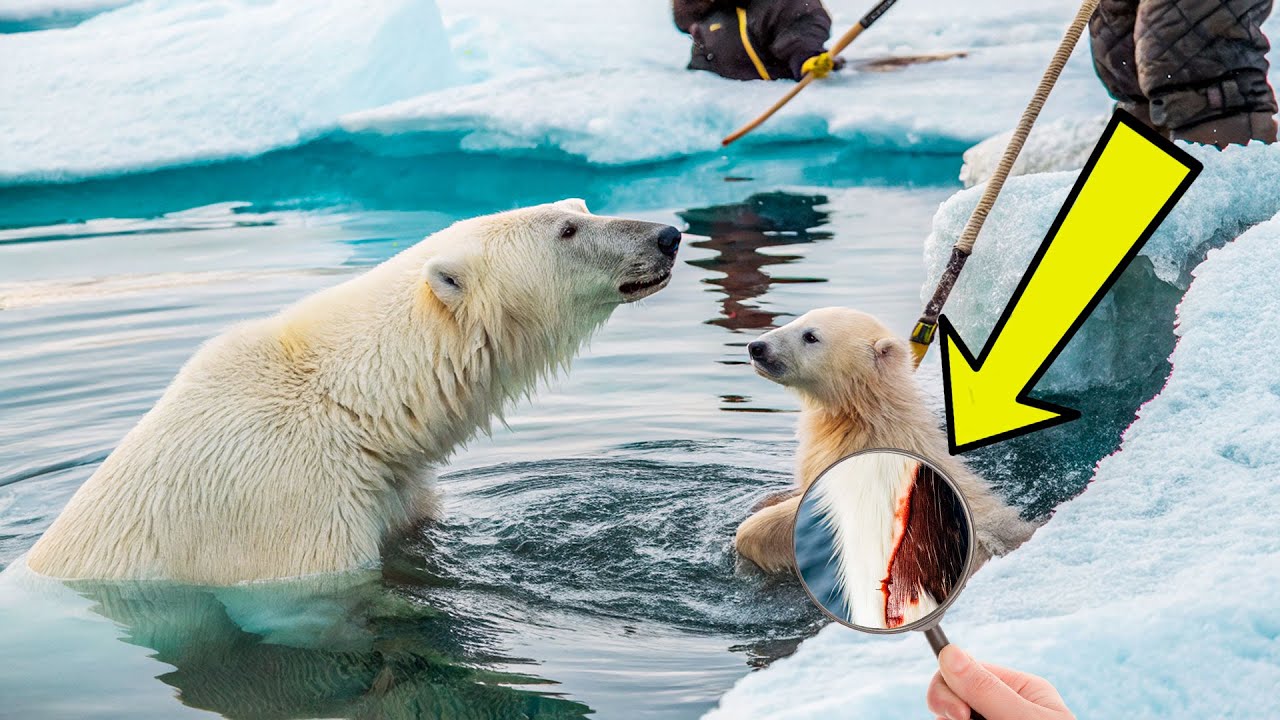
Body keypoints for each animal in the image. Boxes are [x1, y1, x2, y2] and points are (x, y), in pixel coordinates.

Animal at [26, 199, 682, 585]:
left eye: (580, 205)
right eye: (568, 228)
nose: (668, 234)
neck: (354, 407)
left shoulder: (394, 496)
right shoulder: (293, 519)